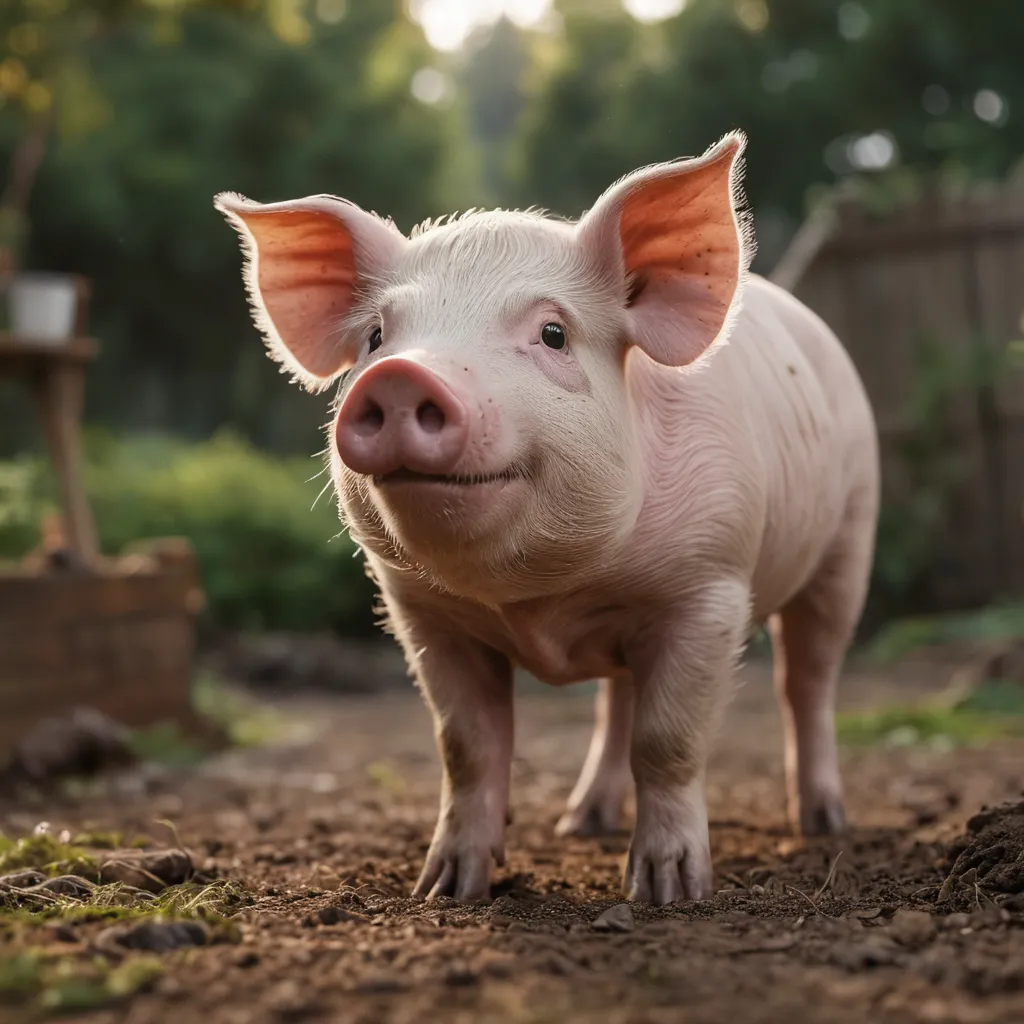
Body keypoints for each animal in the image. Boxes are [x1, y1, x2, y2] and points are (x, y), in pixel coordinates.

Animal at [215, 131, 879, 906]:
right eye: (377, 336)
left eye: (554, 333)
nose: (401, 376)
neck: (541, 600)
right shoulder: (424, 615)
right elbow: (466, 745)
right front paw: (444, 890)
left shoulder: (709, 586)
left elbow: (669, 739)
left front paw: (668, 893)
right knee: (617, 699)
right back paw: (580, 823)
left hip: (849, 539)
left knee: (807, 680)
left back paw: (823, 822)